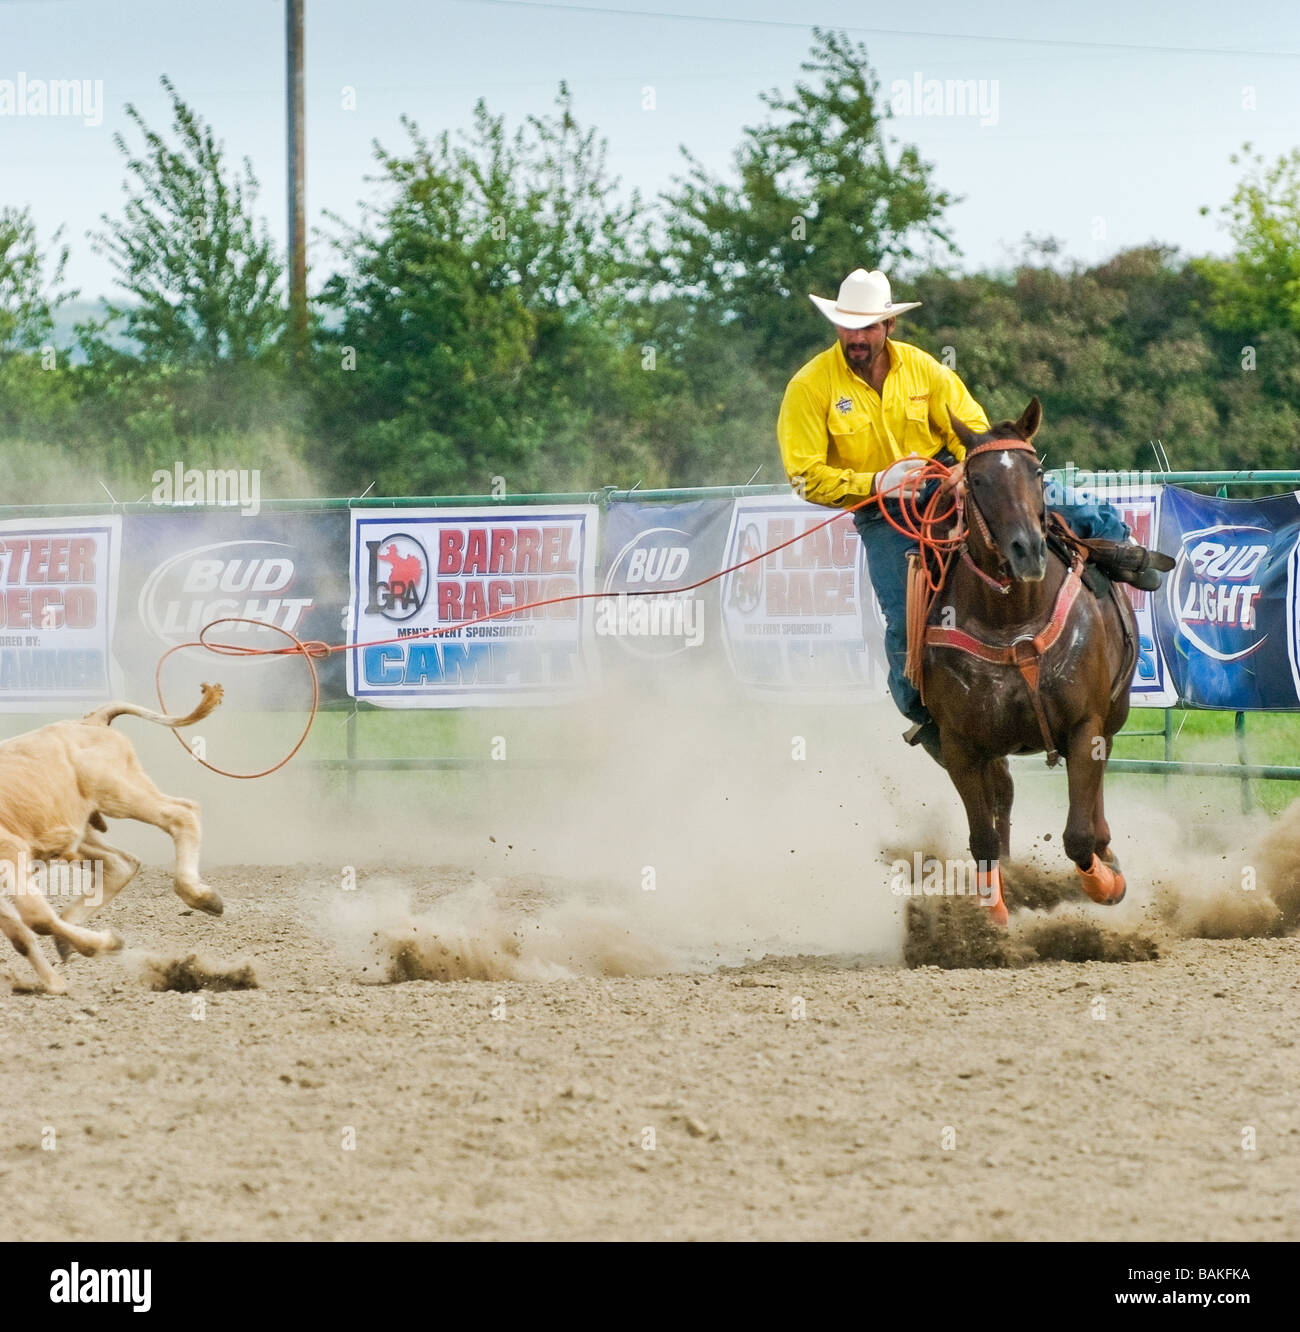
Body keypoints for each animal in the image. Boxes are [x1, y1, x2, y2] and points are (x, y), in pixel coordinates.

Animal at [0, 683, 223, 995]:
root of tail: (91, 722)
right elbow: (20, 935)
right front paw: (56, 984)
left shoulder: (11, 853)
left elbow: (37, 919)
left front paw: (106, 944)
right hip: (80, 832)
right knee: (120, 863)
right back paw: (67, 939)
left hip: (120, 793)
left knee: (182, 814)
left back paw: (200, 895)